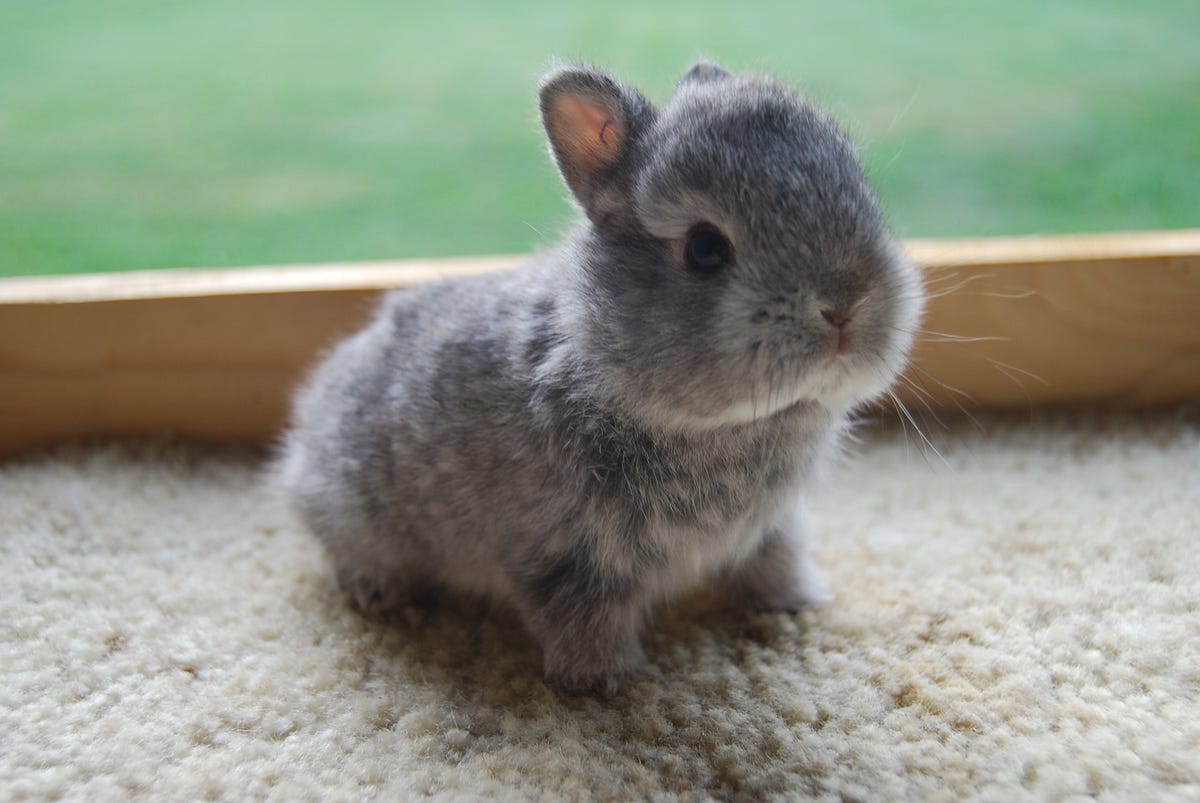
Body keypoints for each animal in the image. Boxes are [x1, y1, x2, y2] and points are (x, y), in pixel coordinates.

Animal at [279, 62, 925, 697]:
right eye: (705, 248)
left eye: (863, 196)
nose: (843, 308)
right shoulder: (565, 555)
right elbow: (581, 614)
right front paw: (601, 680)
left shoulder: (770, 529)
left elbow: (776, 561)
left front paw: (797, 602)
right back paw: (375, 590)